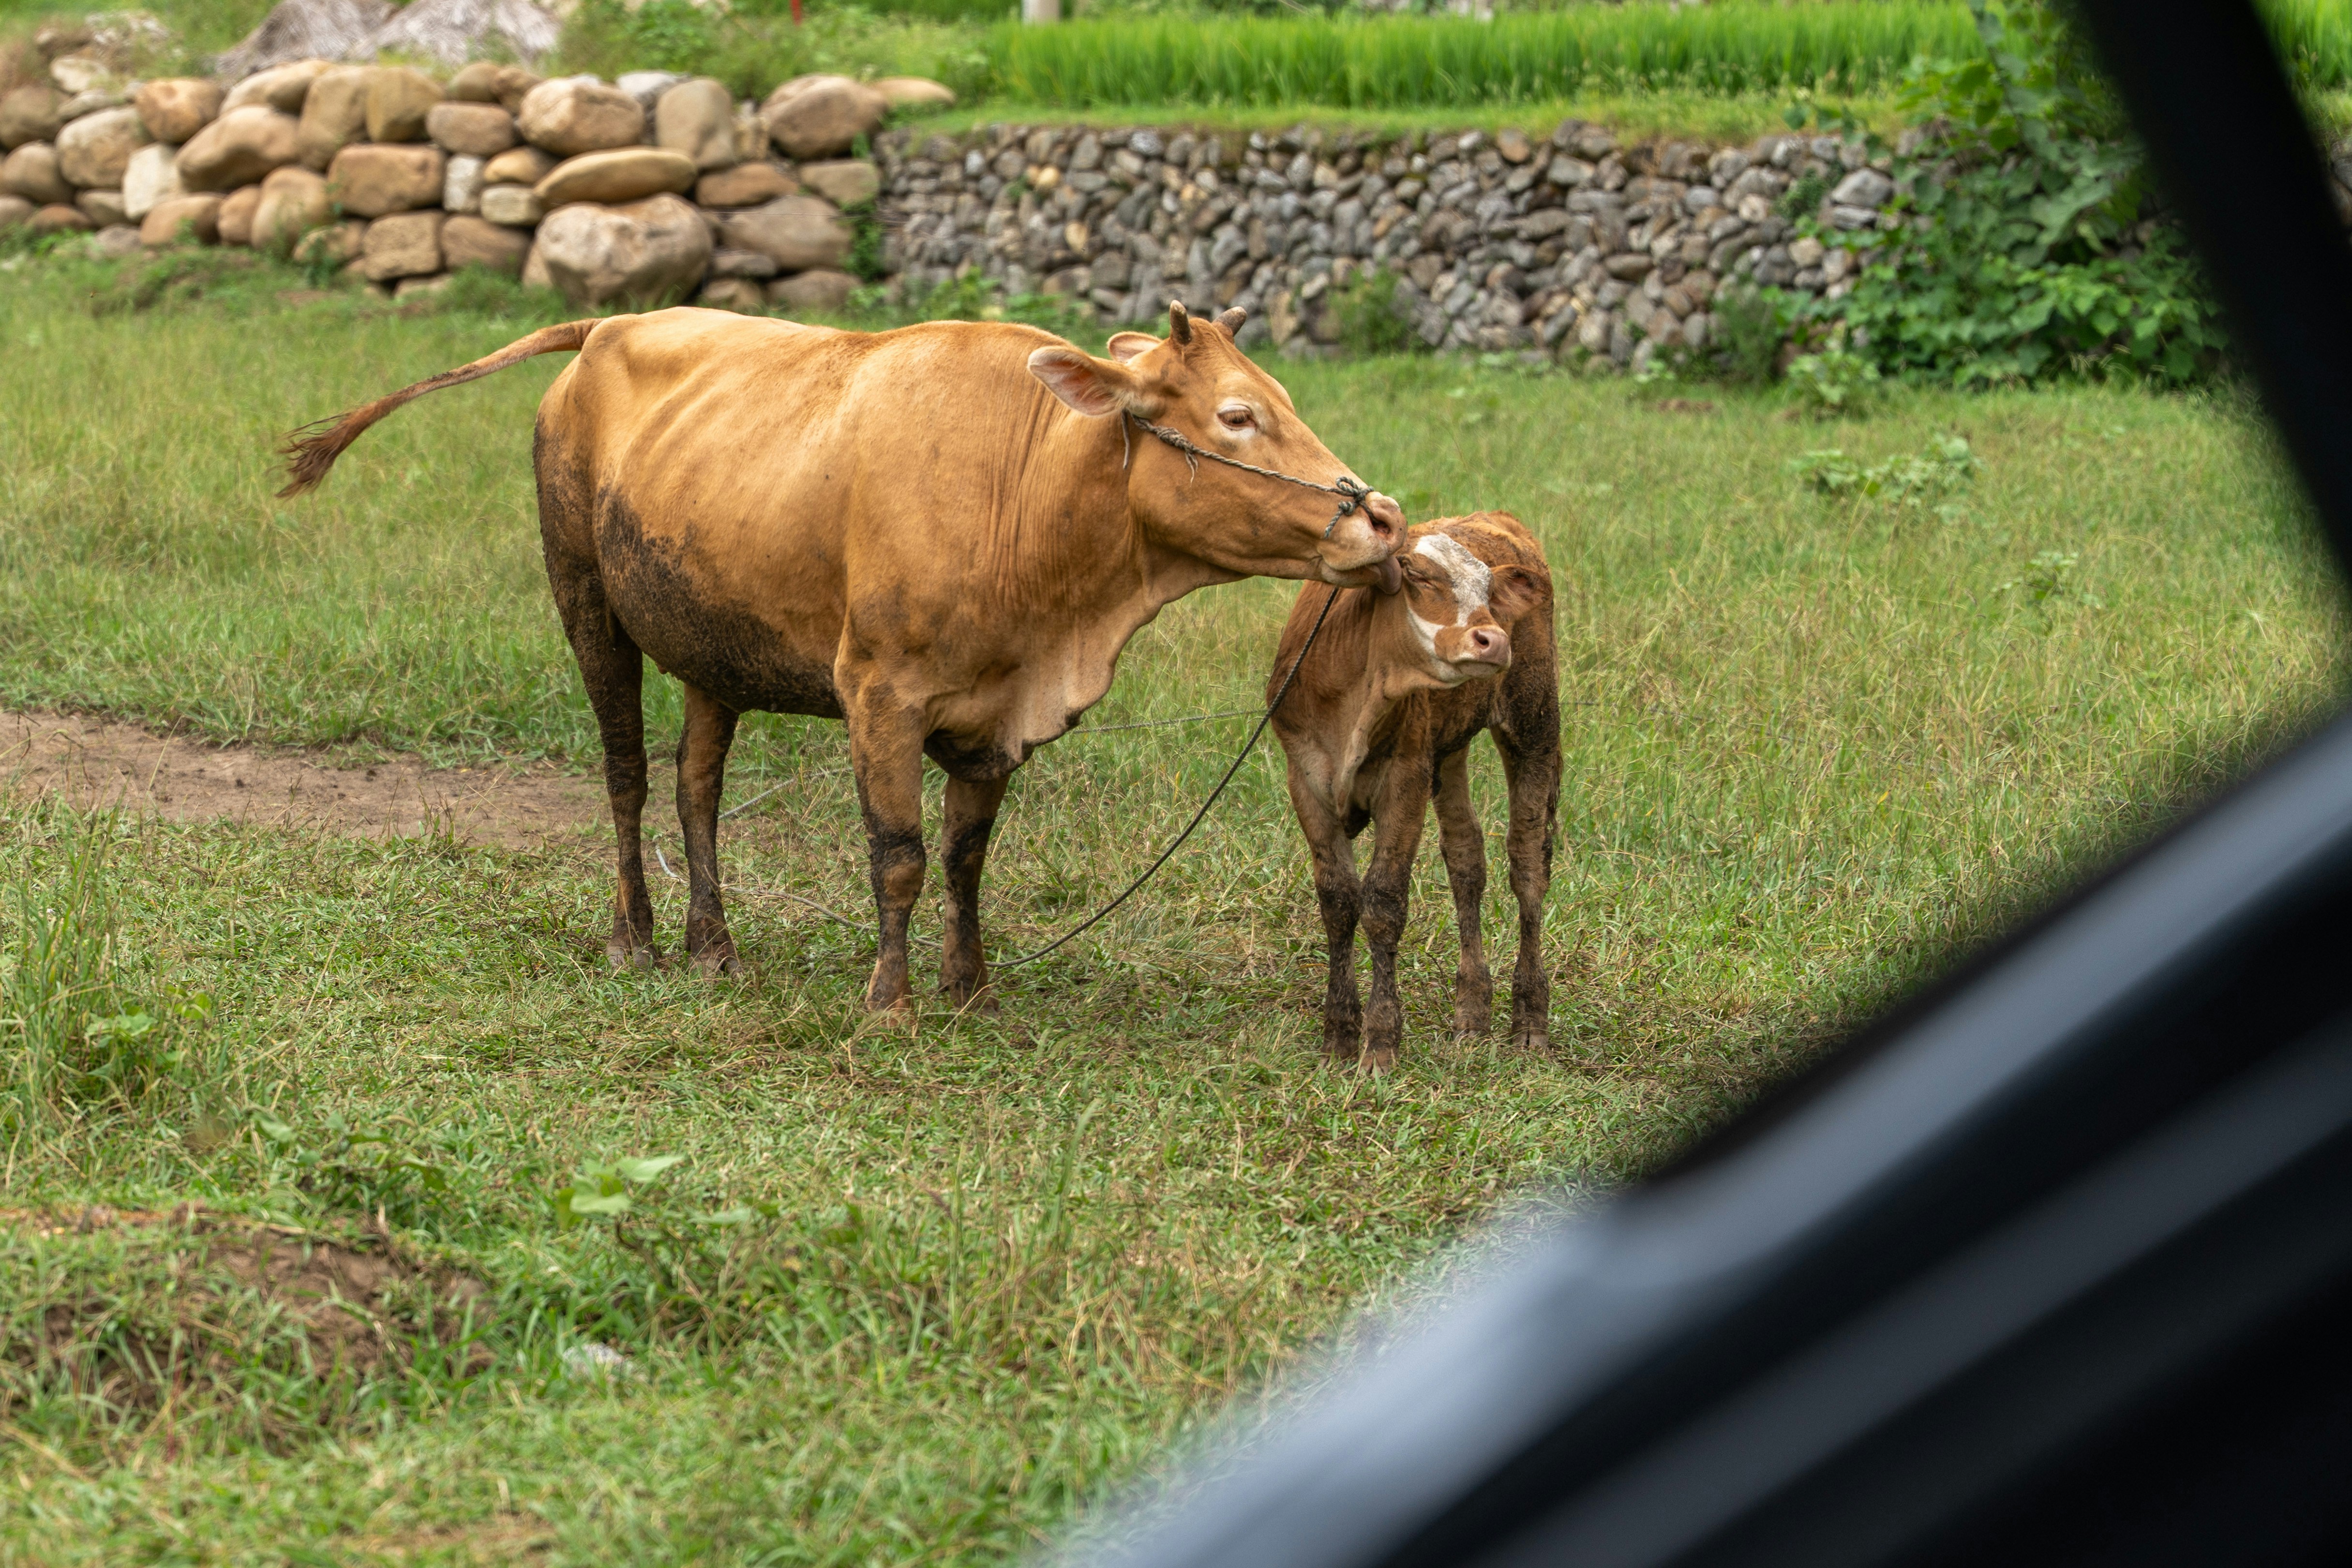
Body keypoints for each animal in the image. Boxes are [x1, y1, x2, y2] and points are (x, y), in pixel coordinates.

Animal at [278, 303, 1404, 1013]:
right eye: (1237, 416)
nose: (1382, 517)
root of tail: (610, 325)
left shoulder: (998, 716)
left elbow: (964, 856)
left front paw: (970, 989)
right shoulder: (880, 695)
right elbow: (897, 855)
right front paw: (889, 1001)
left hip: (710, 648)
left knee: (695, 786)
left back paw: (714, 945)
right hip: (585, 600)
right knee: (627, 776)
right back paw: (635, 936)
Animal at [1266, 511, 1558, 1070]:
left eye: (1488, 589)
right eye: (1419, 576)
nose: (1493, 639)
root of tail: (1497, 518)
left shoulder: (1404, 781)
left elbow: (1383, 903)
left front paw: (1380, 1043)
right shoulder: (1306, 784)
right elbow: (1337, 901)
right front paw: (1338, 1035)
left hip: (1534, 723)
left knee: (1528, 866)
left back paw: (1530, 1018)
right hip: (1448, 750)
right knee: (1466, 857)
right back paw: (1472, 1012)